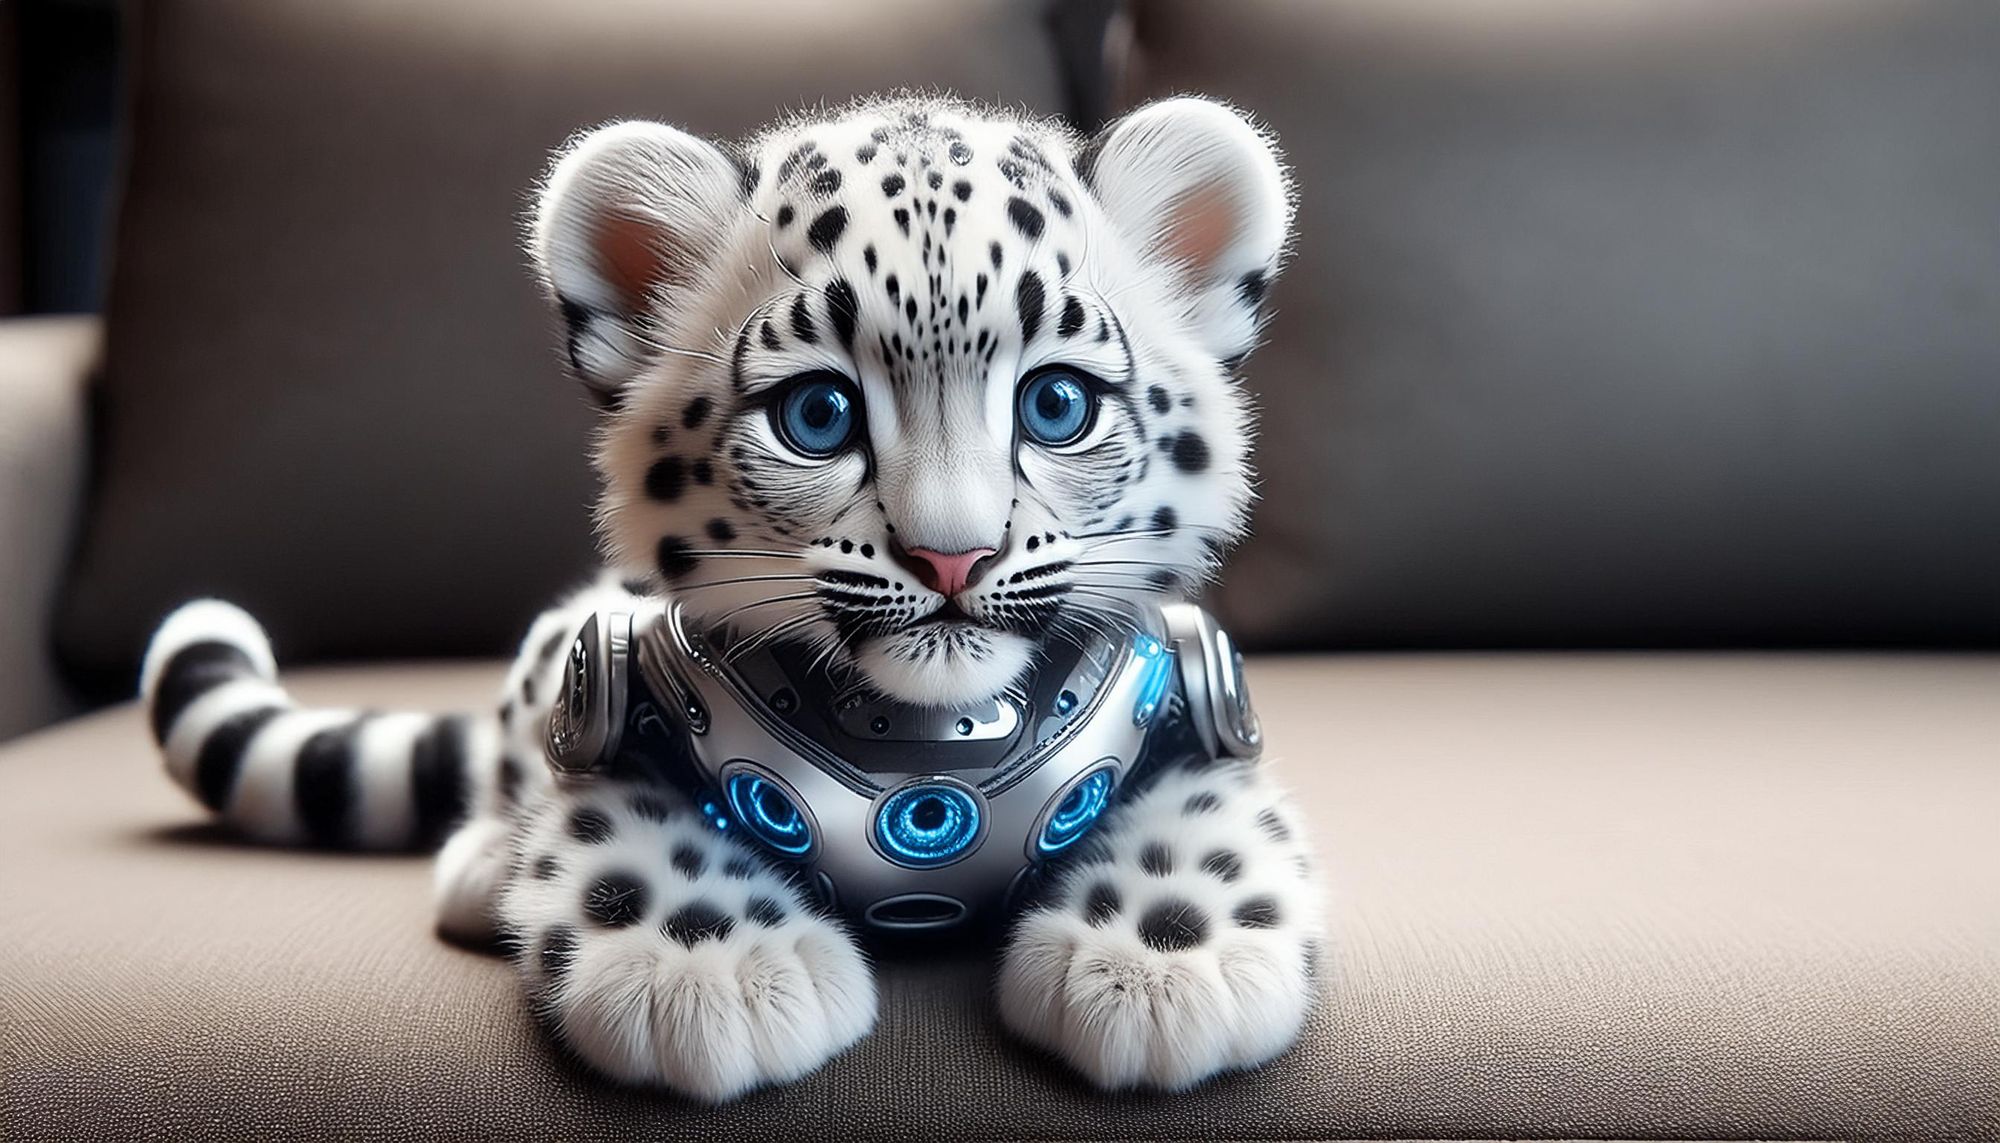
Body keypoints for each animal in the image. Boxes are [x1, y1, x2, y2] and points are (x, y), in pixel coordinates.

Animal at [139, 92, 1319, 1102]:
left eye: (1057, 402)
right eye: (818, 413)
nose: (951, 557)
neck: (930, 753)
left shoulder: (1188, 697)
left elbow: (1208, 802)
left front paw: (1168, 963)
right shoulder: (621, 693)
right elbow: (625, 818)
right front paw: (708, 972)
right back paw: (482, 866)